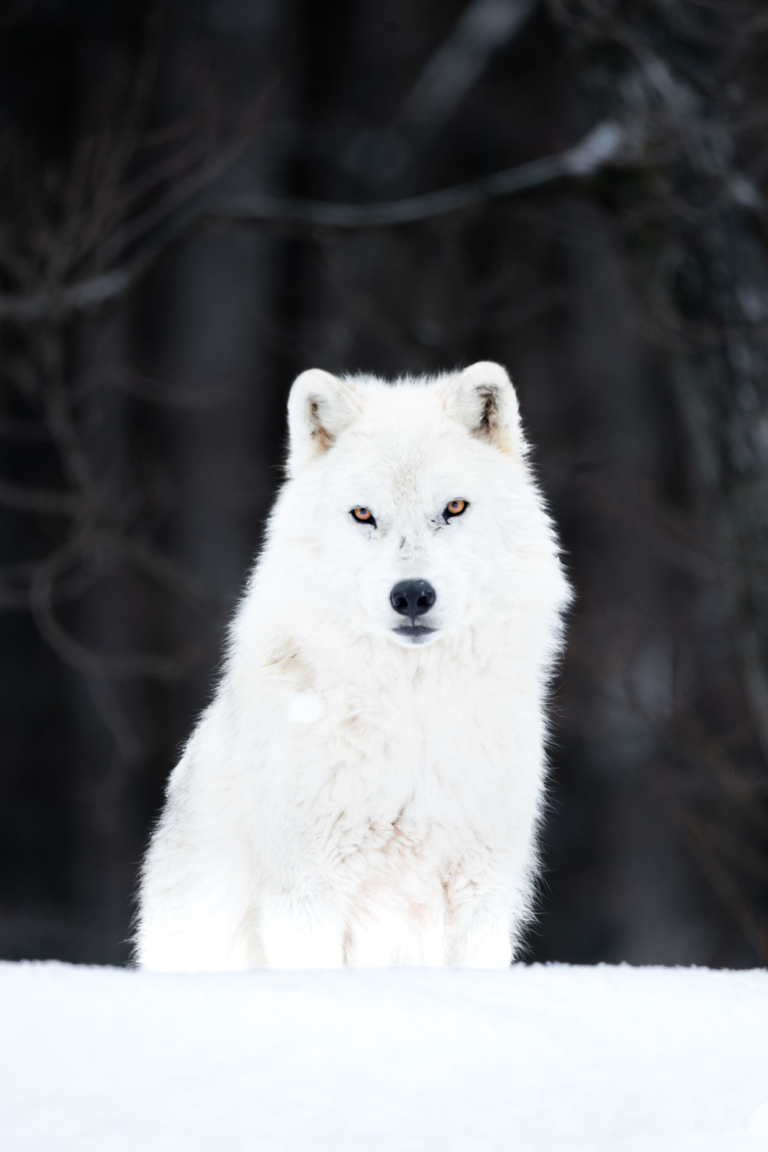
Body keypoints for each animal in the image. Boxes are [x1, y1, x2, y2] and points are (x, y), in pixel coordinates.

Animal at [136, 362, 570, 969]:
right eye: (364, 515)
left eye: (453, 509)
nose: (411, 595)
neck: (413, 718)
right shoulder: (305, 899)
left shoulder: (481, 897)